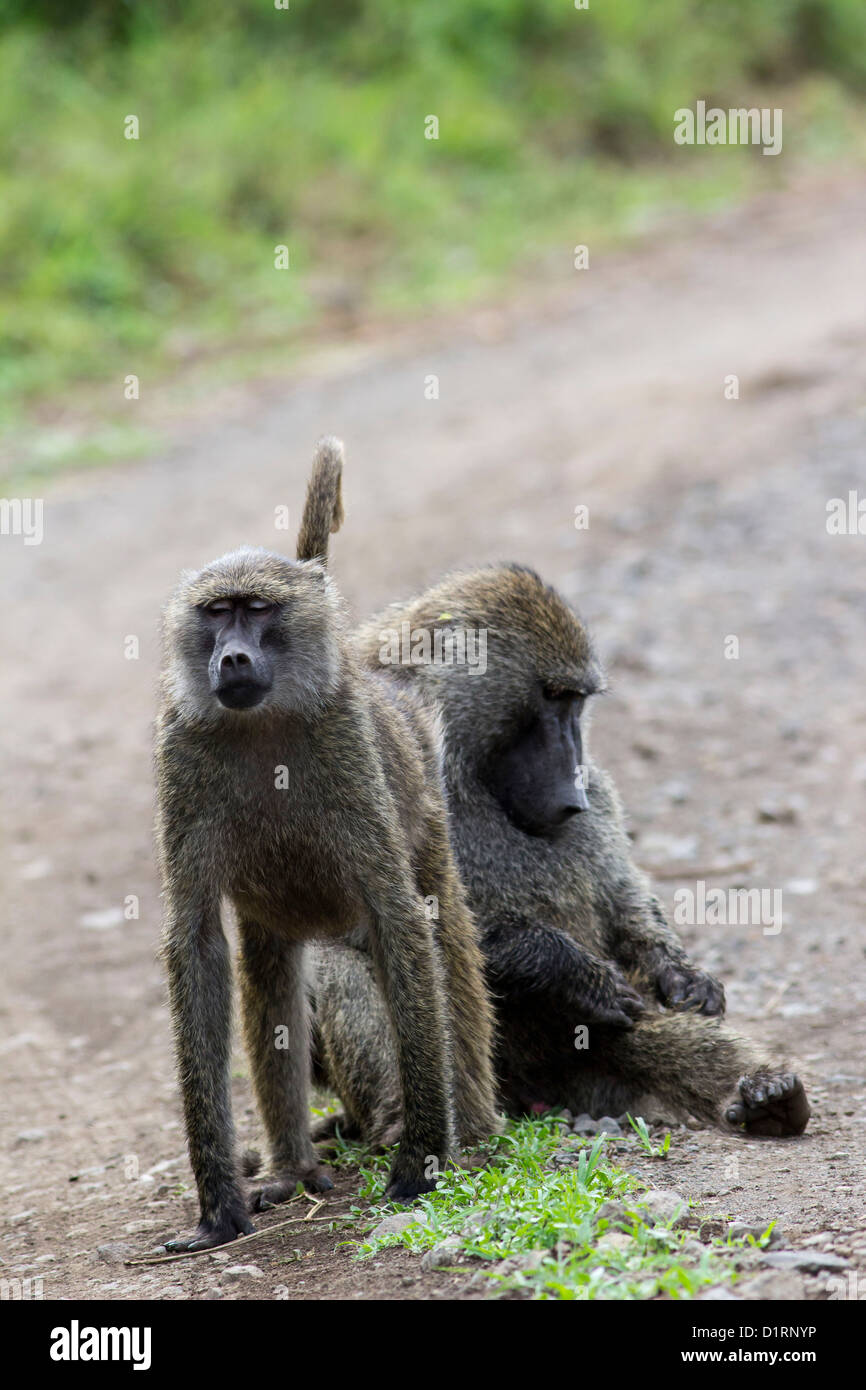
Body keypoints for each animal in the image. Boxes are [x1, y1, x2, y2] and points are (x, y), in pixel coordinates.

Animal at [155, 438, 500, 1252]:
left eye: (257, 611)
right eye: (215, 614)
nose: (232, 659)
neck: (263, 725)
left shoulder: (347, 748)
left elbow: (400, 917)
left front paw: (421, 1161)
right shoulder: (181, 756)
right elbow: (198, 945)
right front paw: (218, 1208)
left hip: (424, 808)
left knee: (442, 944)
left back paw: (471, 1128)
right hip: (276, 918)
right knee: (270, 973)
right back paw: (291, 1167)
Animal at [312, 563, 809, 1143]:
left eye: (576, 702)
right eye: (551, 696)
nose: (574, 781)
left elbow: (622, 893)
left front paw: (683, 976)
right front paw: (575, 974)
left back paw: (766, 1096)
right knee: (336, 961)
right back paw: (399, 1123)